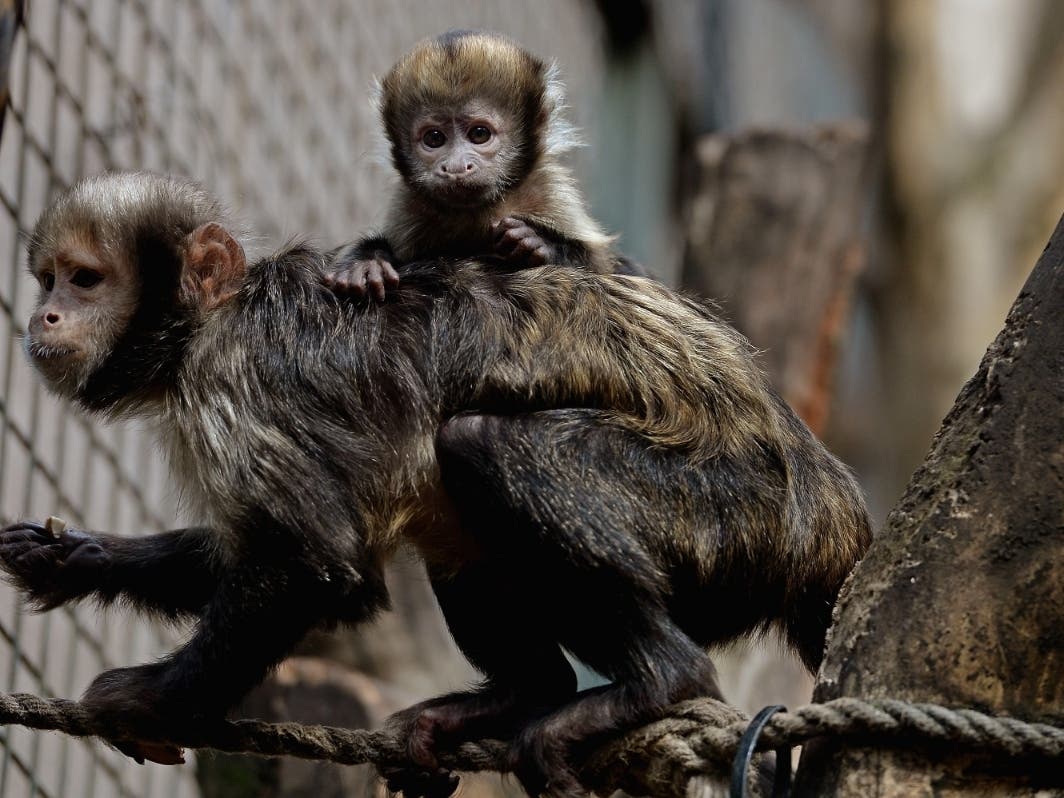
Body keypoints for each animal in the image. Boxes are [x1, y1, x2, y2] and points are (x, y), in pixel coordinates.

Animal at [0, 172, 871, 798]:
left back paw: (658, 679)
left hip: (728, 517)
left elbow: (316, 566)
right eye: (48, 280)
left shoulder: (238, 385)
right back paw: (524, 692)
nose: (44, 317)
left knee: (481, 445)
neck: (211, 326)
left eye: (85, 280)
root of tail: (828, 506)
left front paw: (155, 698)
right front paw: (74, 558)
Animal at [323, 30, 643, 302]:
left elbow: (605, 269)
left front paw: (538, 243)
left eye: (479, 134)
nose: (455, 166)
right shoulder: (408, 207)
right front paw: (368, 260)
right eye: (434, 138)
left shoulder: (549, 190)